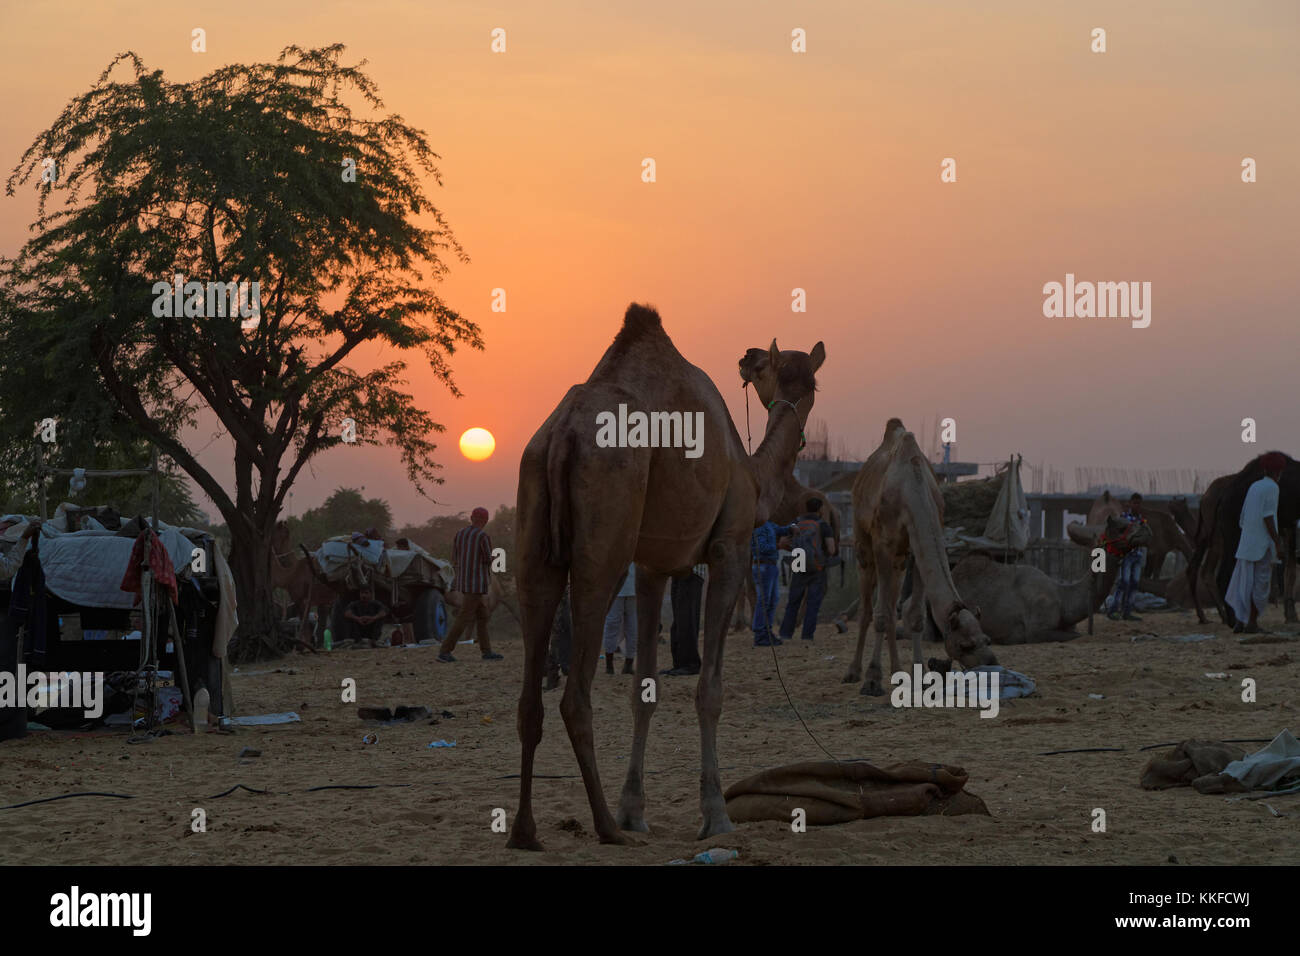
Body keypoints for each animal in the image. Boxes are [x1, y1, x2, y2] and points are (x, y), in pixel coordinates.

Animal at [507, 303, 824, 850]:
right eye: (772, 366)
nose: (748, 355)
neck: (754, 477)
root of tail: (564, 434)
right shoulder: (728, 548)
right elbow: (710, 691)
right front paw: (714, 816)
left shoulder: (652, 566)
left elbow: (644, 689)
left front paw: (635, 810)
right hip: (605, 540)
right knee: (575, 694)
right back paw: (606, 828)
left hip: (533, 533)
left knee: (531, 696)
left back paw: (527, 832)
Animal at [843, 419, 997, 696]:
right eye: (965, 645)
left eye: (987, 640)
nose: (991, 663)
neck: (912, 488)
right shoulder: (883, 543)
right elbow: (881, 615)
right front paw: (872, 680)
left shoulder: (914, 549)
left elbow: (914, 615)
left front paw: (923, 676)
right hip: (863, 543)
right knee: (869, 607)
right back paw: (854, 672)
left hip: (899, 559)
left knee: (892, 604)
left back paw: (896, 672)